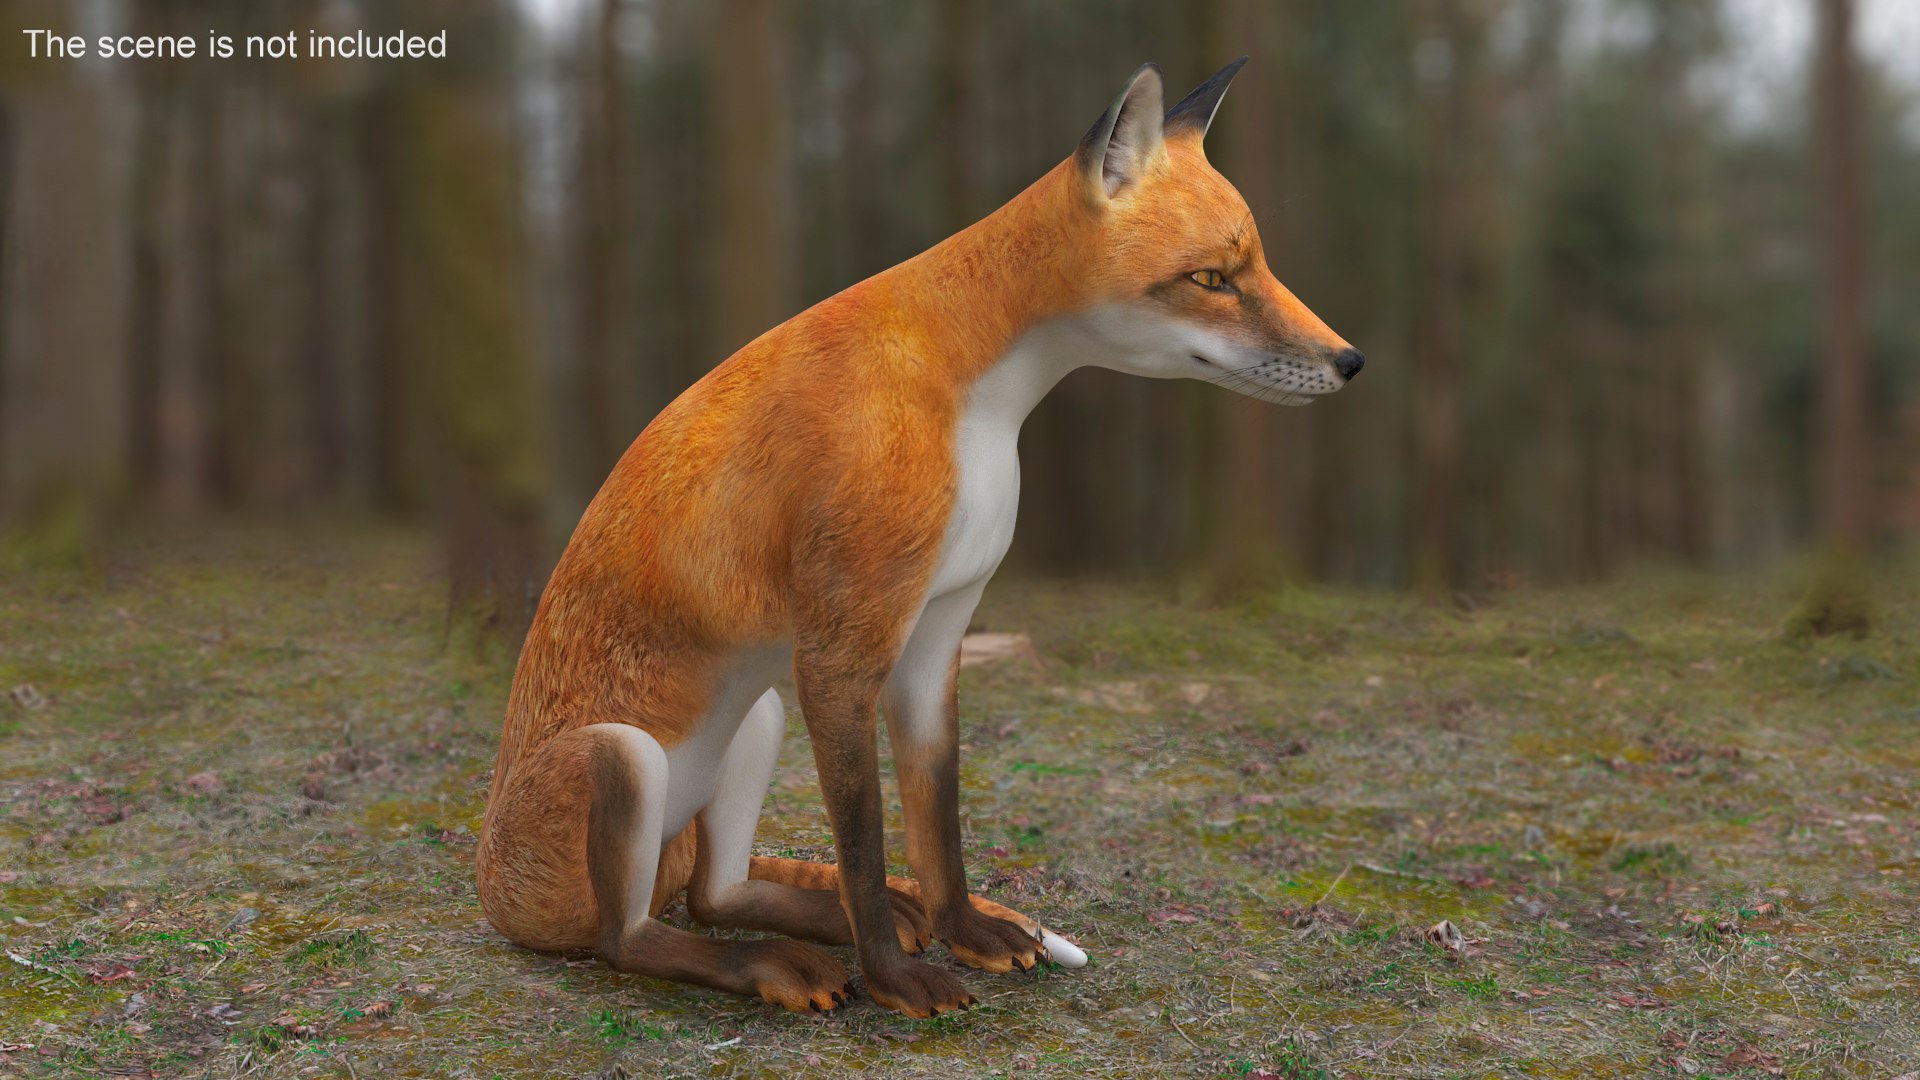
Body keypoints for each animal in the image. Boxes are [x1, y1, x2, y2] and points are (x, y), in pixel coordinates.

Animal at [476, 58, 1362, 1018]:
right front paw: (897, 981)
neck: (974, 395)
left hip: (755, 715)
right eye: (1210, 278)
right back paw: (779, 963)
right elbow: (865, 845)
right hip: (624, 755)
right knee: (629, 939)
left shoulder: (936, 632)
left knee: (714, 894)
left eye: (1258, 263)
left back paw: (812, 928)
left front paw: (962, 930)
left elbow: (937, 822)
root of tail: (491, 888)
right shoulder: (839, 652)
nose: (1351, 361)